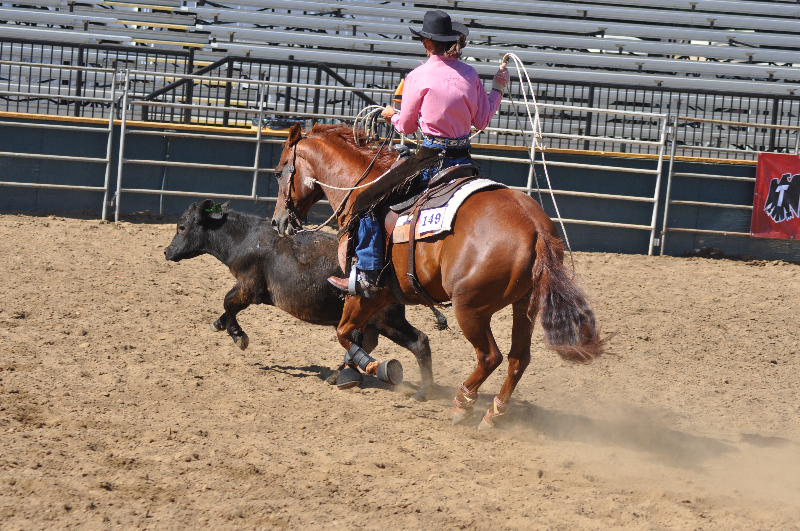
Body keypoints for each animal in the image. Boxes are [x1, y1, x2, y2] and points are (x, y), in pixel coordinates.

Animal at [164, 199, 447, 401]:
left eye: (181, 226)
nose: (167, 251)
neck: (244, 238)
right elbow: (228, 306)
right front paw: (220, 324)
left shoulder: (248, 286)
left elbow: (229, 302)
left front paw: (238, 335)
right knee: (365, 341)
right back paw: (340, 375)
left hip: (388, 319)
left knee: (419, 341)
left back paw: (422, 391)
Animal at [271, 123, 606, 429]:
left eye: (278, 171)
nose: (278, 221)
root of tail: (534, 228)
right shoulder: (385, 297)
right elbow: (358, 335)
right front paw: (348, 371)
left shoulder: (366, 290)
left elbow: (345, 333)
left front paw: (375, 369)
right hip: (525, 306)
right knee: (517, 358)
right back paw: (493, 413)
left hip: (470, 308)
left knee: (490, 356)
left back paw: (463, 404)